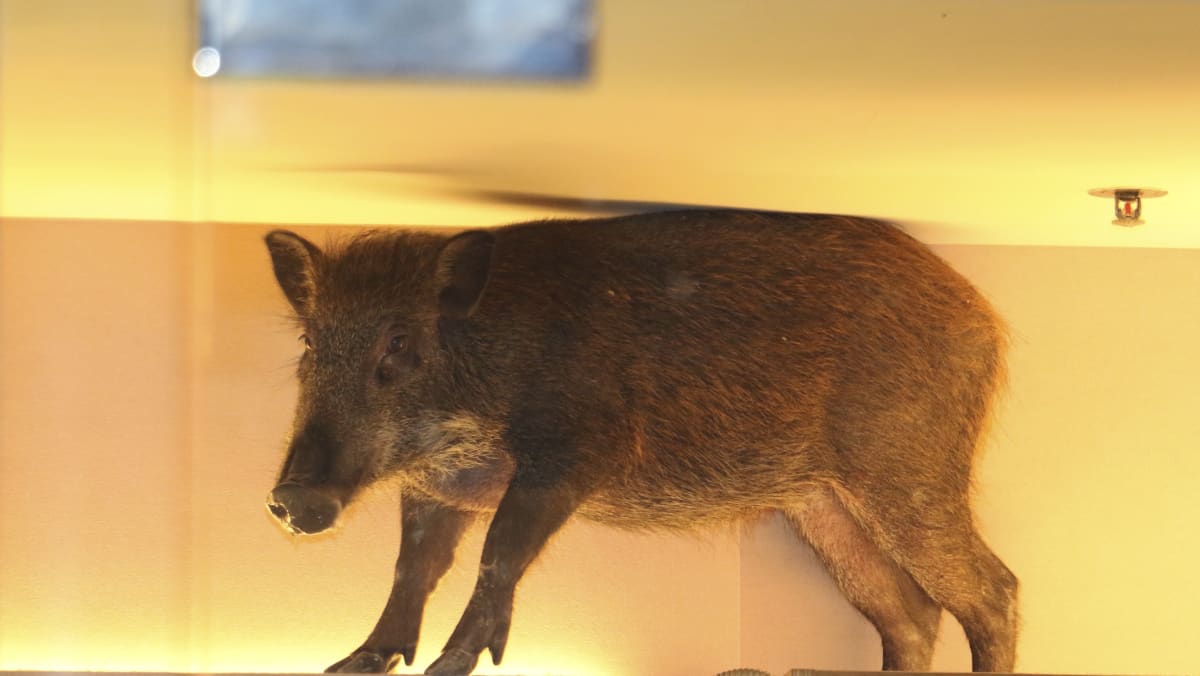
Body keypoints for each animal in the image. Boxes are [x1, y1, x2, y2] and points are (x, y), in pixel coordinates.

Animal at [263, 209, 1018, 676]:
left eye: (398, 344)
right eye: (310, 344)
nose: (290, 499)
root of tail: (986, 318)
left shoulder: (577, 453)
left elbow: (498, 554)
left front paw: (453, 664)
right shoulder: (438, 490)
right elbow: (411, 570)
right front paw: (351, 663)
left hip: (906, 469)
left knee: (992, 589)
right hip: (821, 505)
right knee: (910, 612)